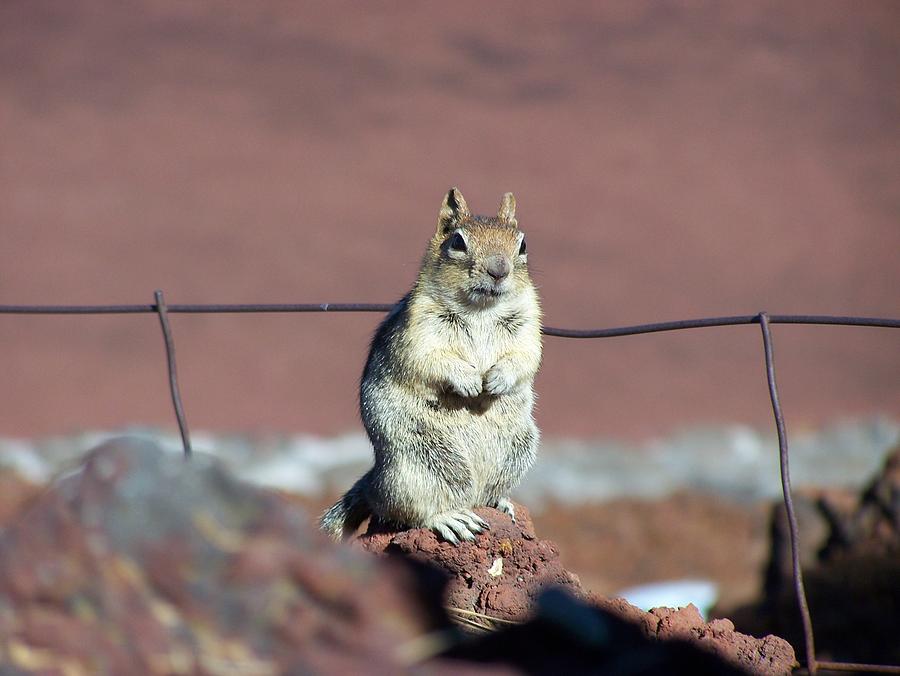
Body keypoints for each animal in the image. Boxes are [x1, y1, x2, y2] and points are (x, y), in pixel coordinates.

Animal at [320, 187, 542, 545]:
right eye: (458, 242)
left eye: (522, 245)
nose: (499, 270)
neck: (482, 309)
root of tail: (376, 481)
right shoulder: (419, 329)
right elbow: (430, 359)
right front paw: (468, 381)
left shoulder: (529, 323)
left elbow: (526, 357)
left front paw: (497, 378)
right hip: (415, 468)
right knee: (409, 512)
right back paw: (449, 518)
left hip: (519, 450)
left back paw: (499, 502)